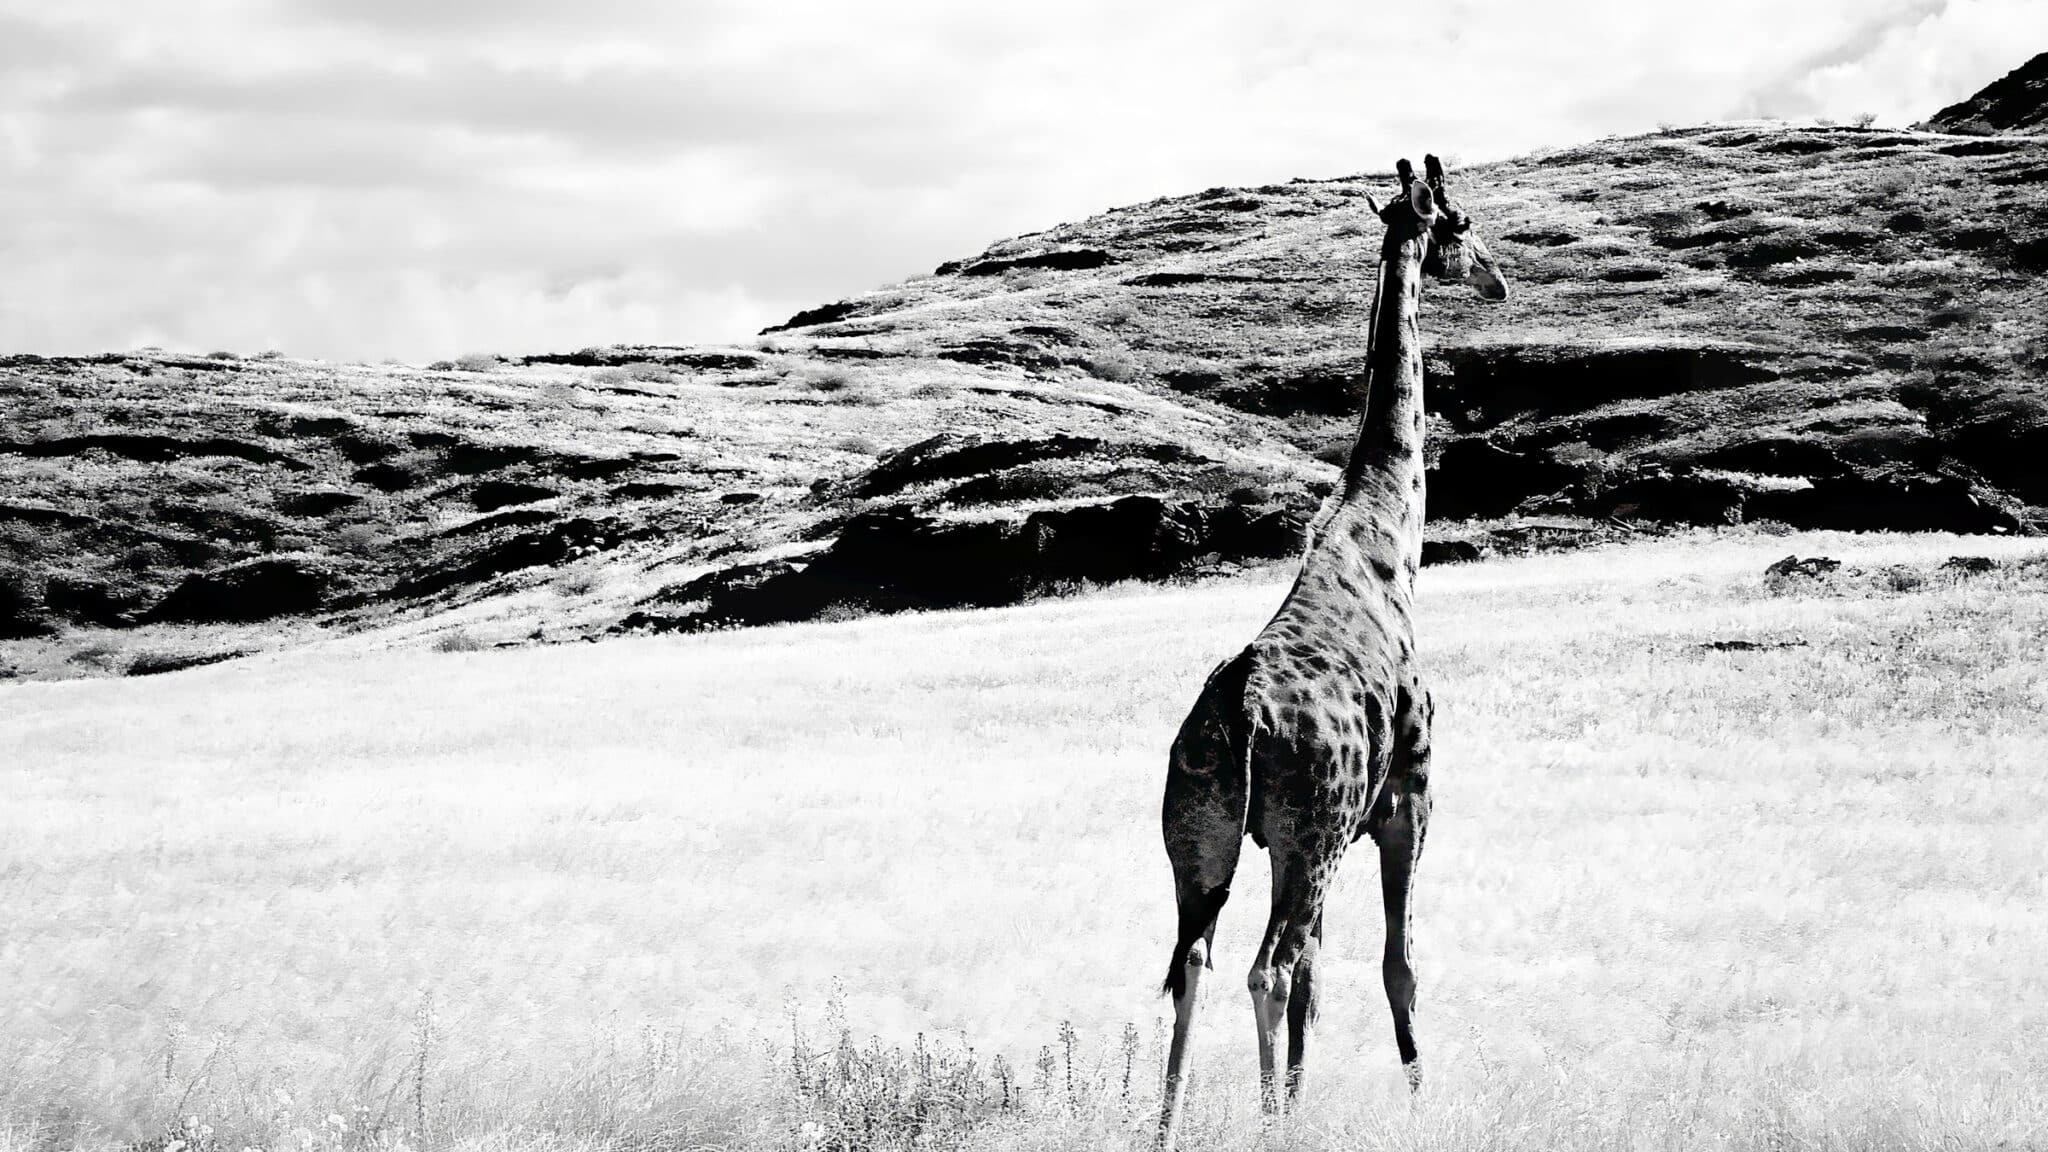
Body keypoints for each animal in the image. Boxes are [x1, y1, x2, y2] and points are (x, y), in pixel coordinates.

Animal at [1155, 155, 1508, 1148]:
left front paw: (1301, 1098)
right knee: (1266, 968)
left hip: (1202, 838)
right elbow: (1397, 963)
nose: (1499, 280)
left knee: (1191, 963)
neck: (1389, 543)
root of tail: (1238, 718)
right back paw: (1266, 1129)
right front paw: (1419, 1100)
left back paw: (1164, 1126)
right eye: (1463, 222)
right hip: (1307, 833)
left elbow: (1323, 976)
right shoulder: (1405, 798)